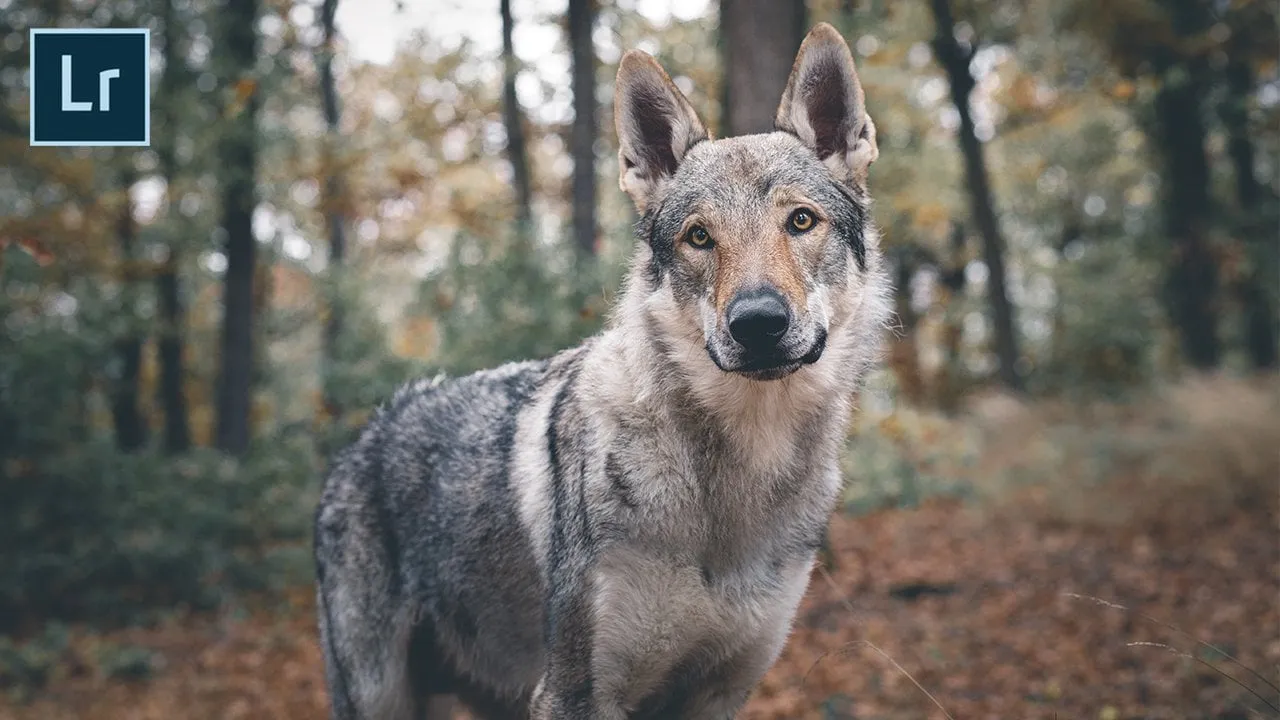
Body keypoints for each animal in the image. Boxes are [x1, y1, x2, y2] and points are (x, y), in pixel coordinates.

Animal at [312, 22, 890, 717]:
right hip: (376, 695)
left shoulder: (721, 691)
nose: (756, 323)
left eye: (801, 220)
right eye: (699, 237)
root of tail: (365, 436)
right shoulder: (573, 691)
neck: (736, 481)